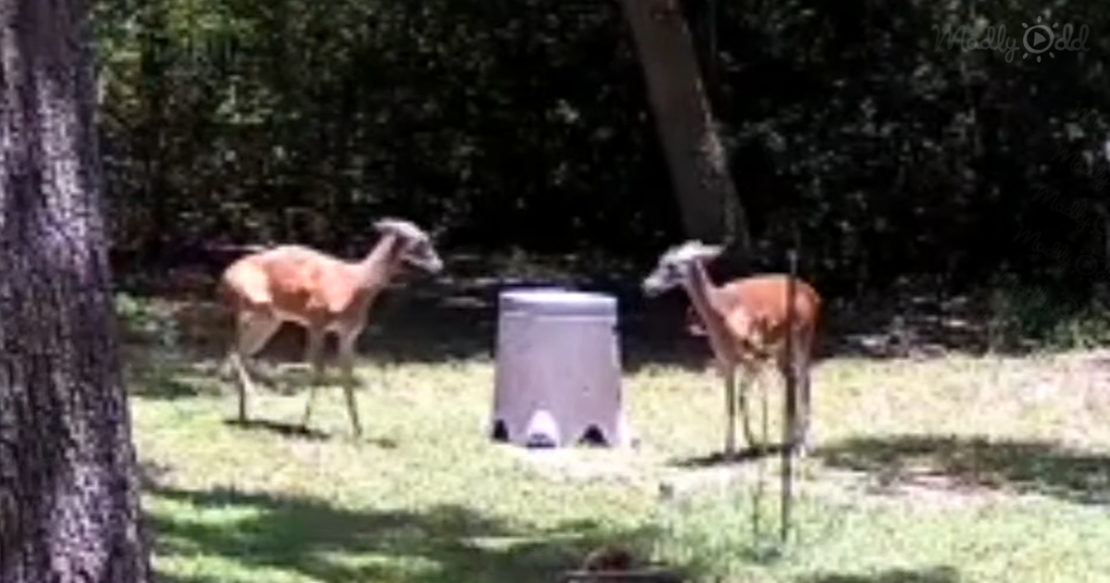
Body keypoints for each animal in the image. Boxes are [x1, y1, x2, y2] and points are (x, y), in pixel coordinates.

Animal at [217, 218, 443, 436]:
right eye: (419, 242)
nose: (439, 265)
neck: (354, 286)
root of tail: (225, 276)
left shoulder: (349, 333)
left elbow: (347, 375)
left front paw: (358, 429)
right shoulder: (317, 320)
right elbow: (318, 369)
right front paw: (303, 424)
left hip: (270, 320)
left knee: (238, 352)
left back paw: (243, 414)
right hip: (256, 307)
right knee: (234, 352)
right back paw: (254, 402)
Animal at [641, 241, 821, 457]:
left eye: (672, 265)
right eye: (660, 261)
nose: (647, 285)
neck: (722, 310)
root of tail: (814, 295)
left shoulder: (751, 355)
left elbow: (747, 397)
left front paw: (756, 445)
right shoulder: (725, 360)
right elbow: (732, 403)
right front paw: (732, 449)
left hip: (803, 335)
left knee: (804, 381)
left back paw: (802, 447)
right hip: (780, 350)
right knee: (793, 379)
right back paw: (793, 442)